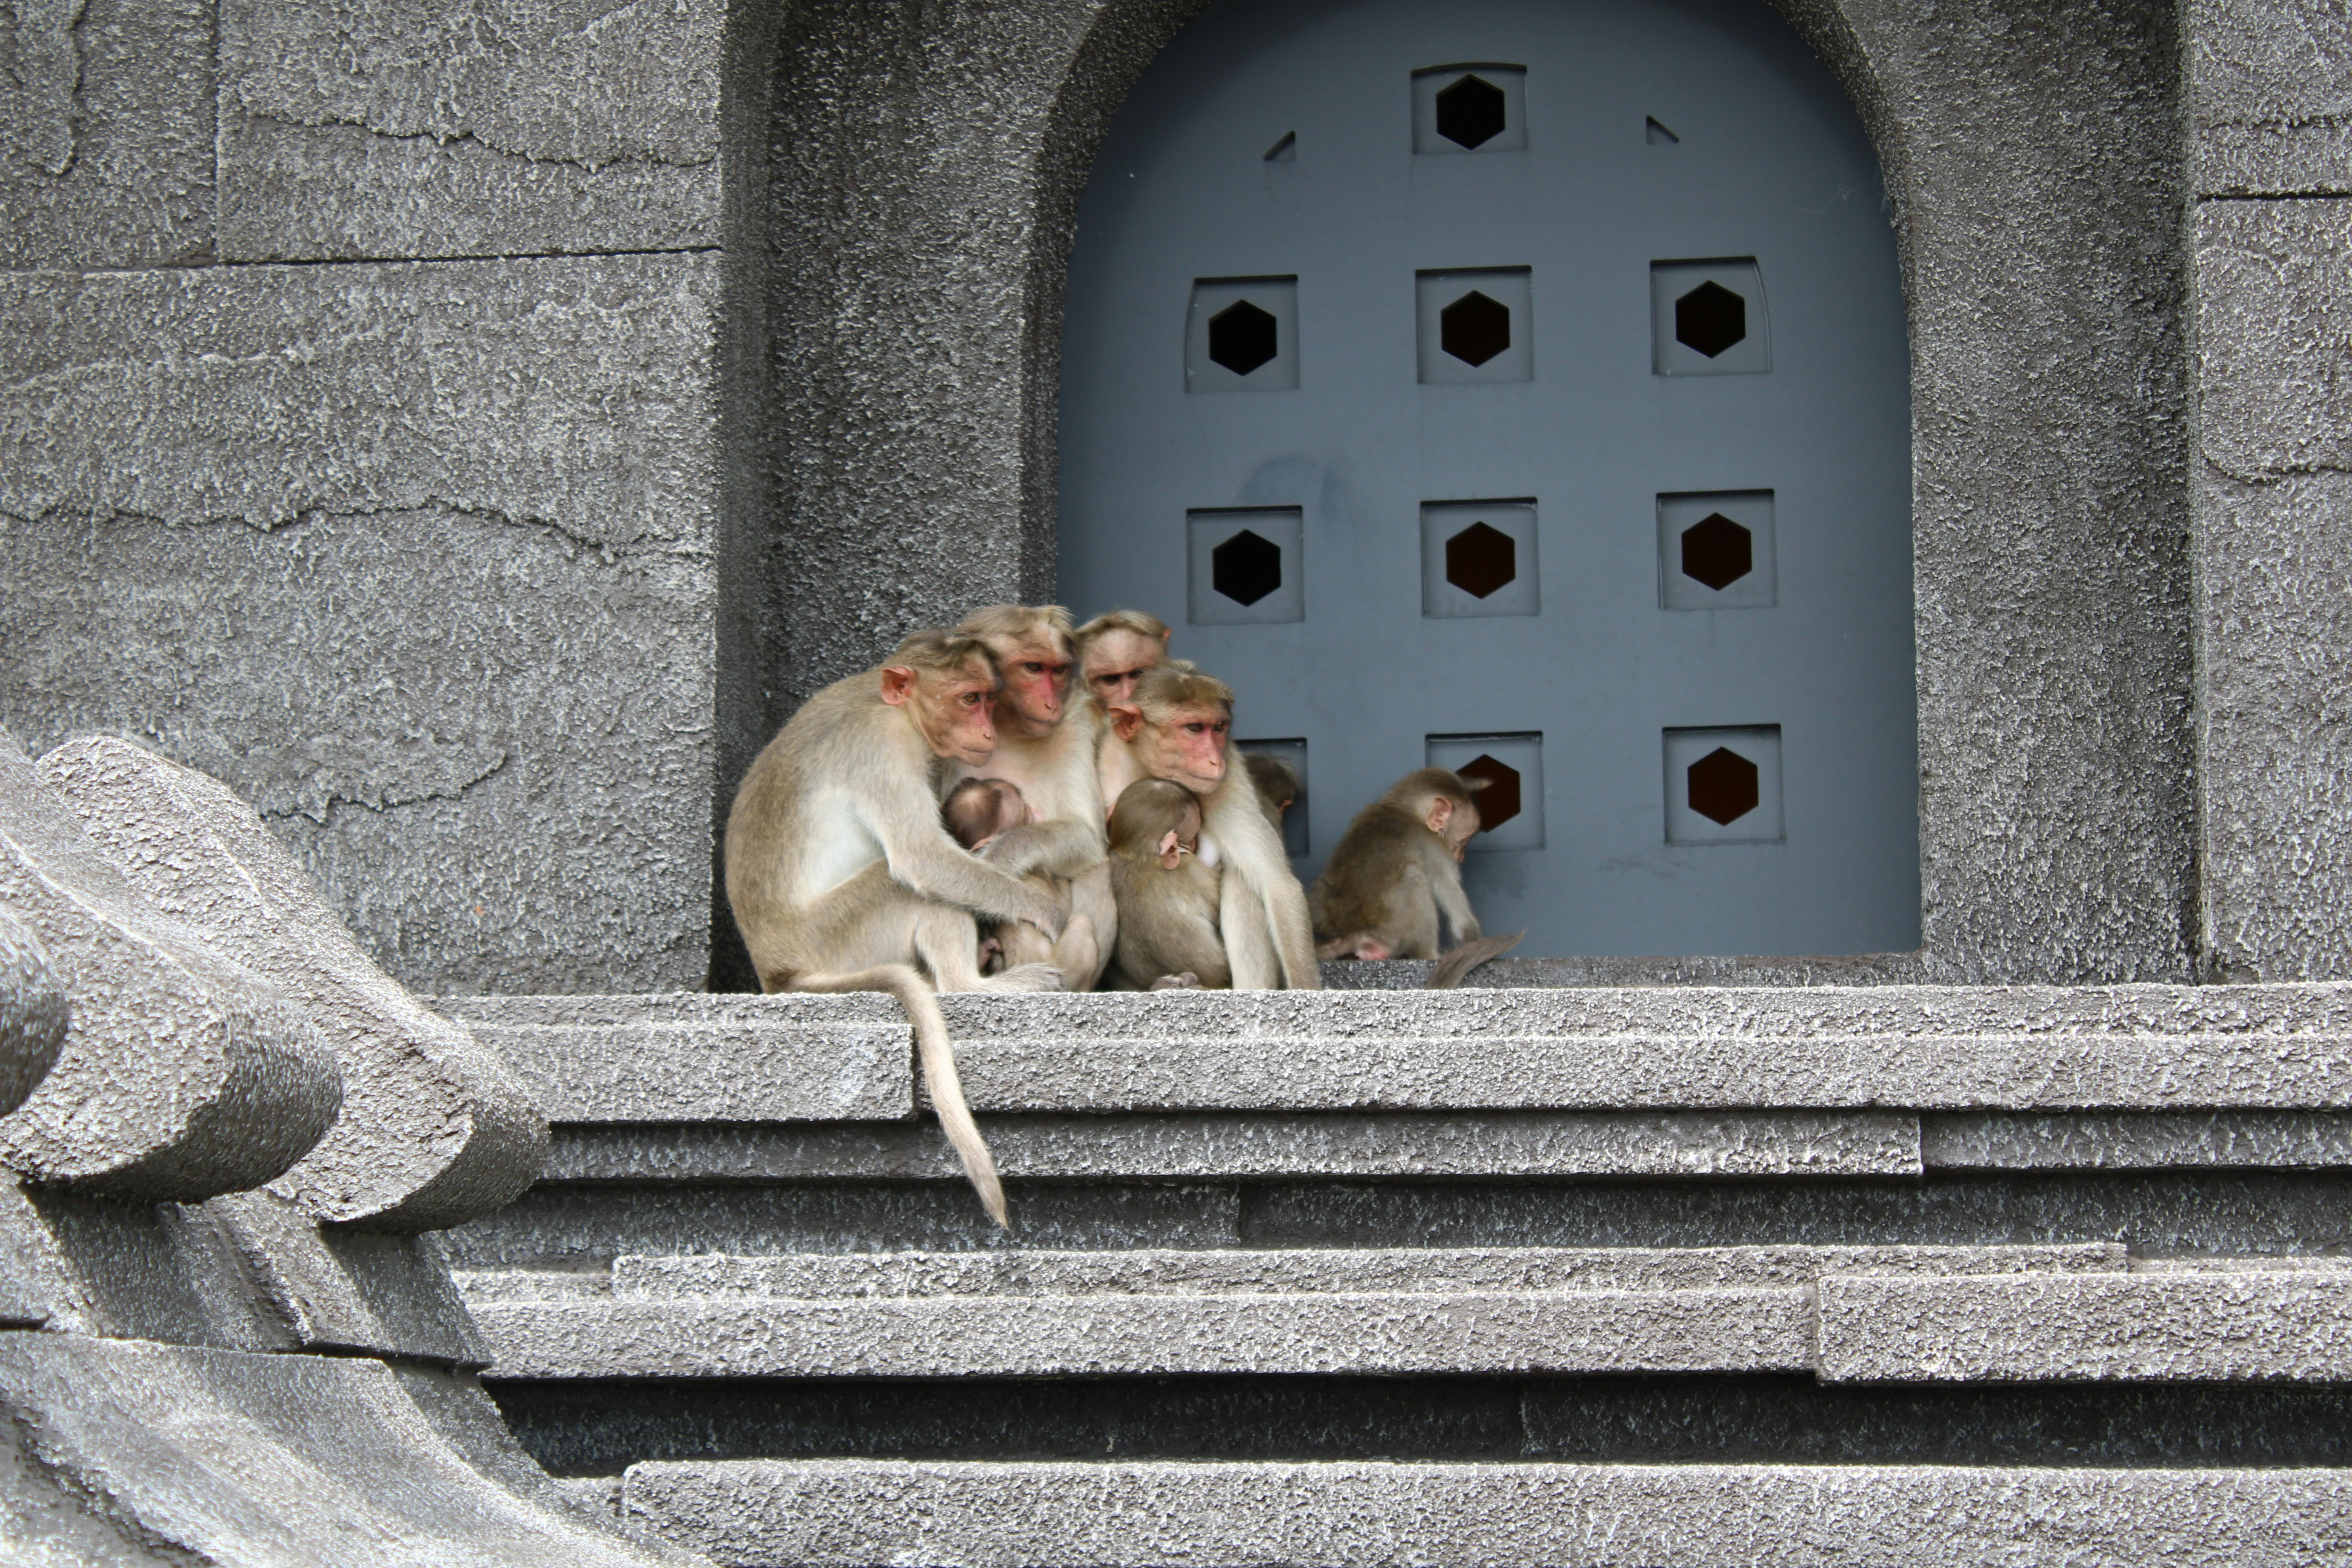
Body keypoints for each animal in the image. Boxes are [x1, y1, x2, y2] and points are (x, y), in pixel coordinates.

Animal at [726, 630, 1068, 1225]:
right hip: (840, 937)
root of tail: (778, 972)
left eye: (987, 697)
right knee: (908, 886)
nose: (988, 731)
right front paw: (1040, 909)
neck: (895, 708)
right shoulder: (884, 749)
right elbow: (923, 858)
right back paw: (973, 984)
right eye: (970, 699)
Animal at [946, 605, 1114, 990]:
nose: (1051, 703)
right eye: (1034, 668)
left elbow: (1085, 833)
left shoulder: (1075, 723)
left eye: (1059, 670)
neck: (1009, 729)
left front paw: (997, 863)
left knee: (1093, 864)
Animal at [1311, 768, 1522, 988]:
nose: (1461, 856)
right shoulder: (1434, 848)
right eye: (1464, 841)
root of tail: (1352, 934)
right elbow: (1461, 920)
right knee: (1413, 877)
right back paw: (1431, 955)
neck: (1405, 813)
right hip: (1394, 935)